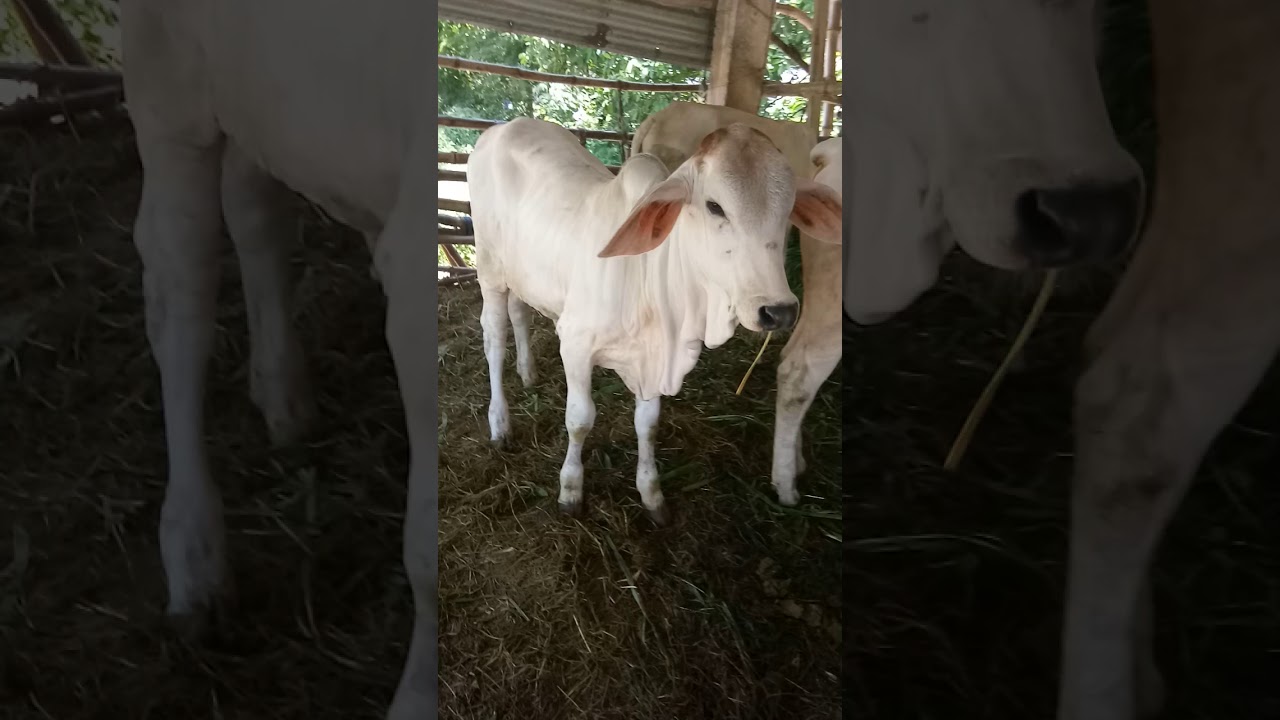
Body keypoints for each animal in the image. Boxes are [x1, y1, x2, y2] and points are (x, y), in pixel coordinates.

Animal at [120, 1, 435, 718]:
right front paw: (419, 696)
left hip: (264, 86)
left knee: (252, 203)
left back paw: (284, 397)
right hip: (167, 73)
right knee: (178, 275)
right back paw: (195, 560)